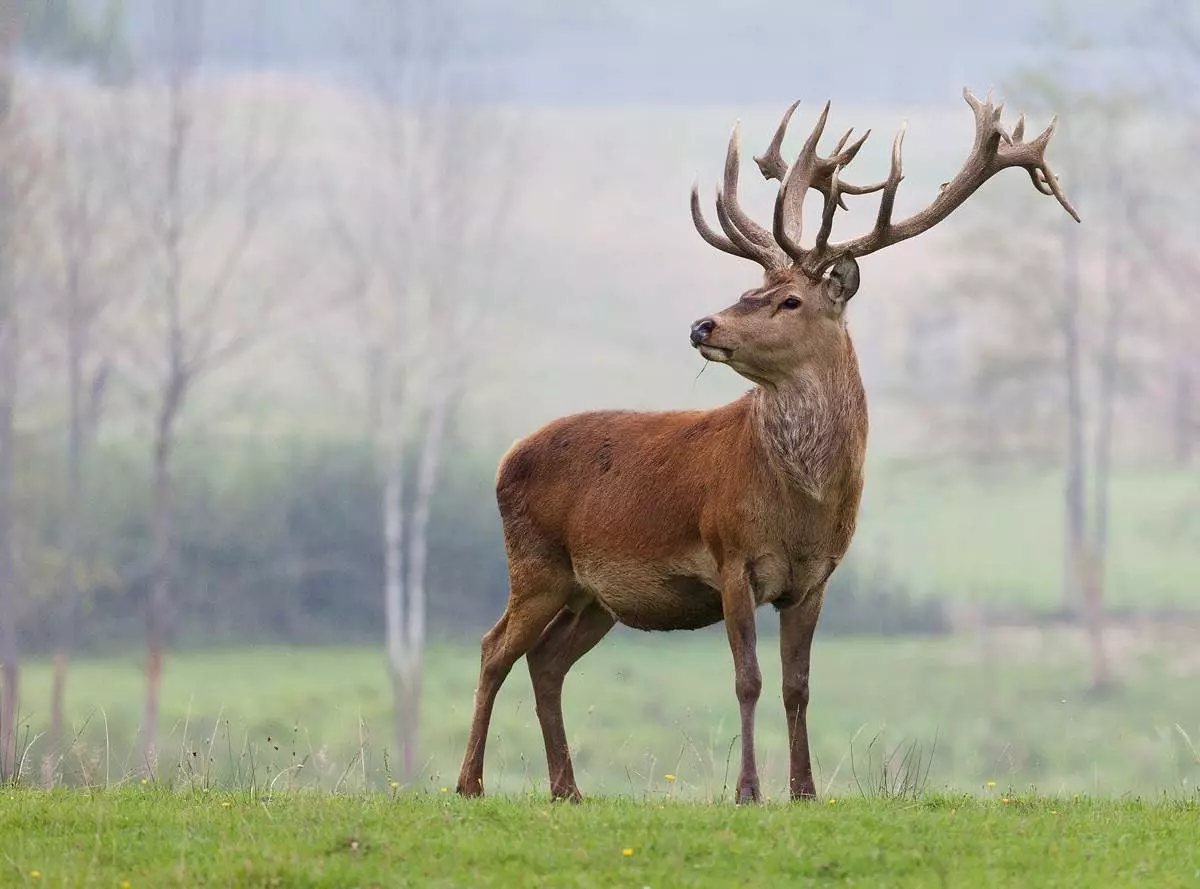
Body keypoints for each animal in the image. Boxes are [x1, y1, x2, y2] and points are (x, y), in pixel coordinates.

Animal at [456, 85, 1080, 806]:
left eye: (788, 300)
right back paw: (470, 782)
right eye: (748, 289)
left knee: (545, 659)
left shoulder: (815, 578)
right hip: (535, 563)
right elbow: (748, 679)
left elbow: (796, 685)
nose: (703, 324)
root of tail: (506, 459)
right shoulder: (731, 557)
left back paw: (567, 789)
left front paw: (804, 788)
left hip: (594, 595)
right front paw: (748, 789)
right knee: (493, 647)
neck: (800, 506)